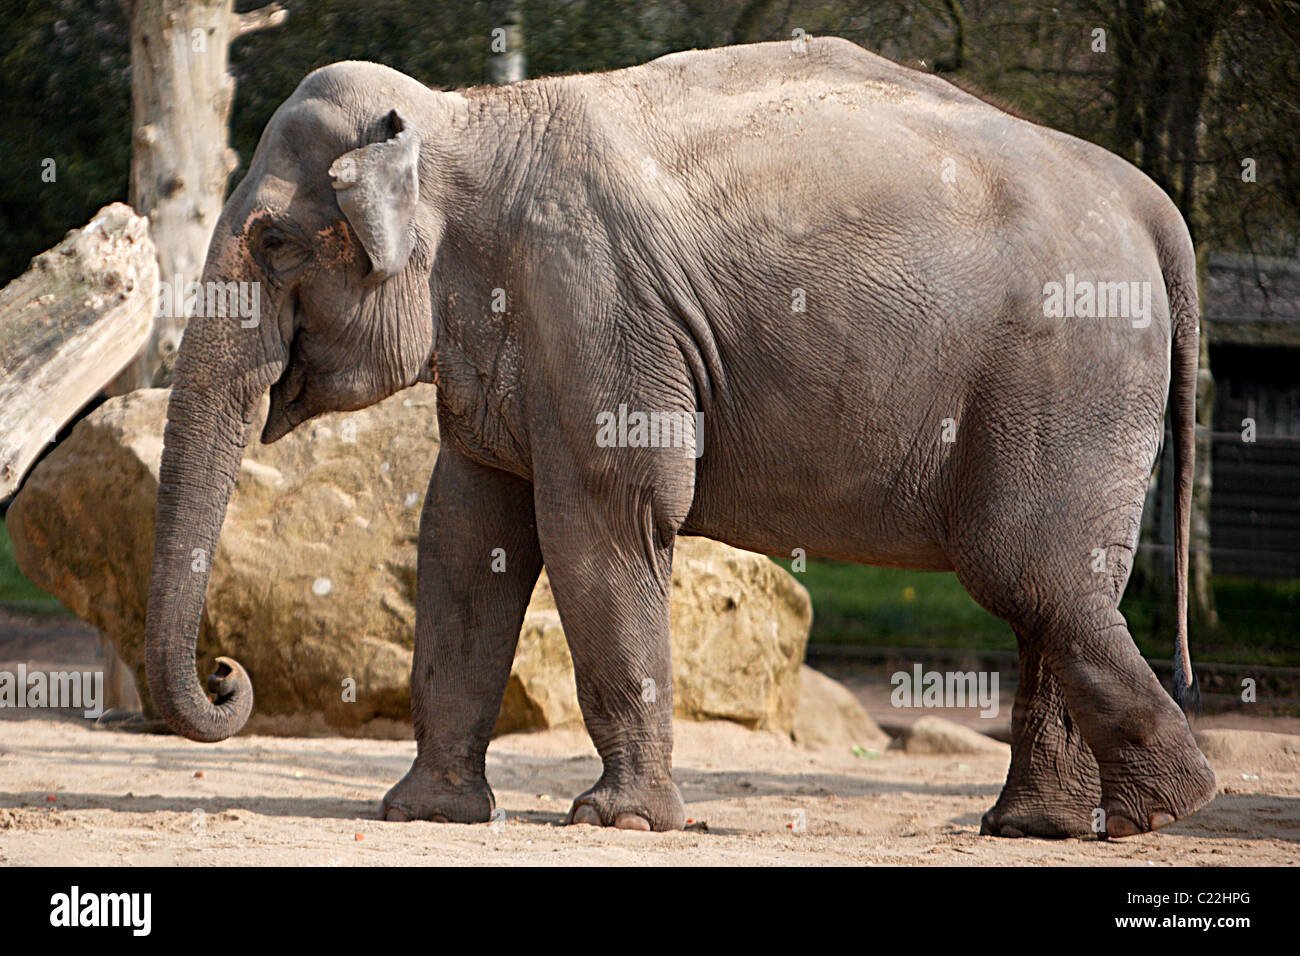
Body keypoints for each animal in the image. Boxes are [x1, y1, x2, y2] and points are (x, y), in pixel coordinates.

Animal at [144, 36, 1216, 838]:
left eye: (275, 242)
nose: (227, 674)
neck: (470, 118)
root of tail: (1152, 203)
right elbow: (463, 535)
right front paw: (424, 814)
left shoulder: (596, 308)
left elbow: (600, 521)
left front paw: (616, 821)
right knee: (1058, 585)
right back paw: (1049, 827)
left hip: (1067, 372)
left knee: (1026, 570)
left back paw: (1168, 810)